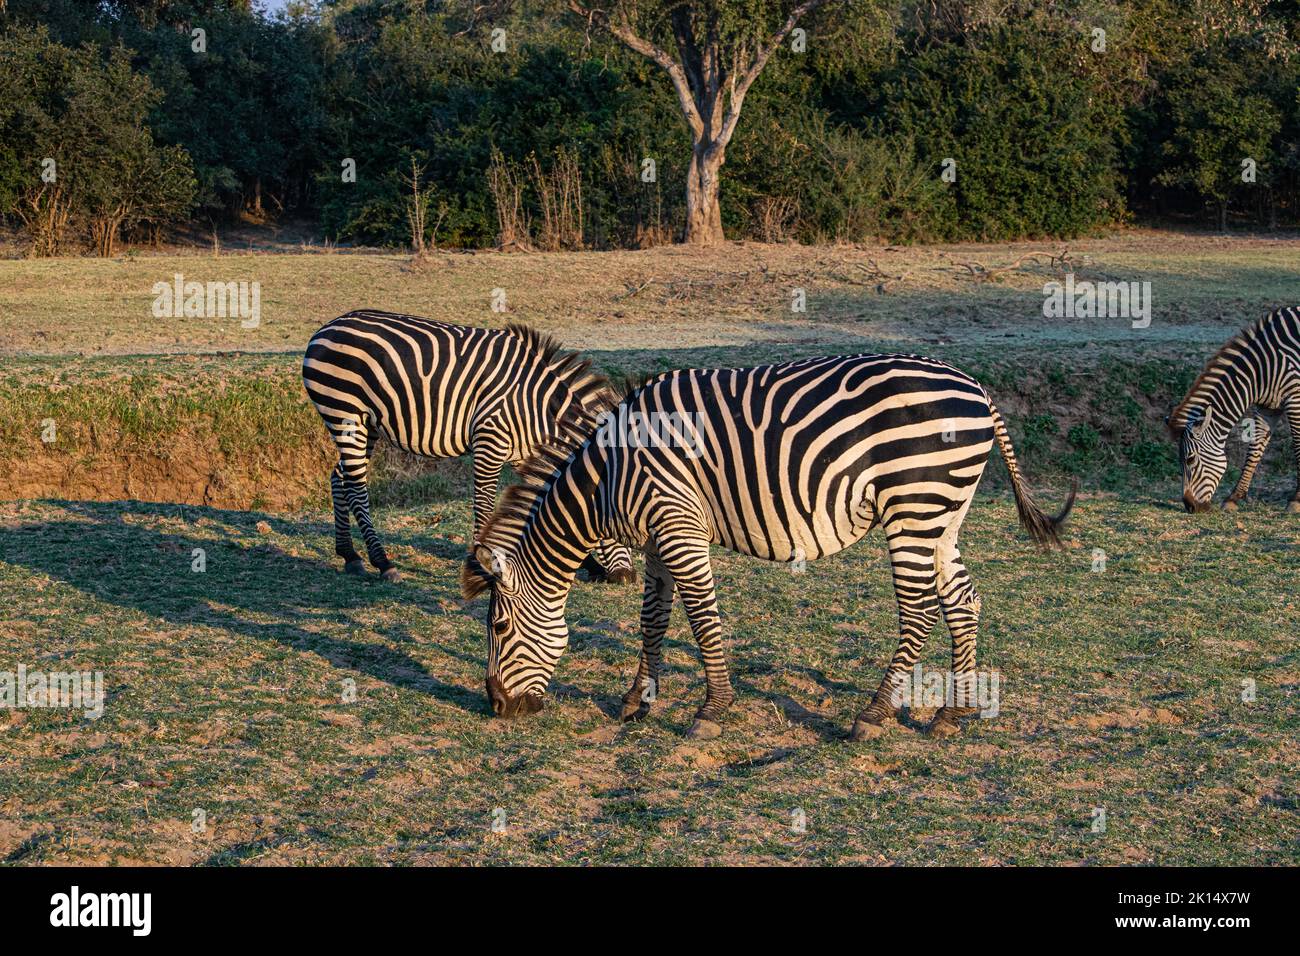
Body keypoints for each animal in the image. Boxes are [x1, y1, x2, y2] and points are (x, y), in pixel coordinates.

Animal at [302, 309, 636, 582]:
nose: (627, 578)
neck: (538, 408)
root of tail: (326, 328)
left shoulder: (525, 452)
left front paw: (588, 563)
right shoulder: (490, 441)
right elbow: (485, 504)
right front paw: (483, 561)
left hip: (366, 424)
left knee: (340, 477)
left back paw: (350, 555)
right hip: (345, 413)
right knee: (356, 486)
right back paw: (383, 562)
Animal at [462, 353, 1075, 740]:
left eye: (497, 627)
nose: (496, 707)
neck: (610, 476)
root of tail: (976, 388)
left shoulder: (679, 525)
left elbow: (702, 620)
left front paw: (712, 711)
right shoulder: (658, 538)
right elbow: (653, 619)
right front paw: (637, 701)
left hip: (914, 505)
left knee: (920, 611)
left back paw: (873, 715)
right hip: (944, 512)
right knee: (963, 601)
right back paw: (954, 712)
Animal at [1168, 307, 1300, 513]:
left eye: (1190, 459)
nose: (1190, 507)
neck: (1262, 370)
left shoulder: (1295, 398)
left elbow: (1297, 445)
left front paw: (1297, 499)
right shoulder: (1267, 408)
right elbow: (1254, 450)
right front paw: (1234, 498)